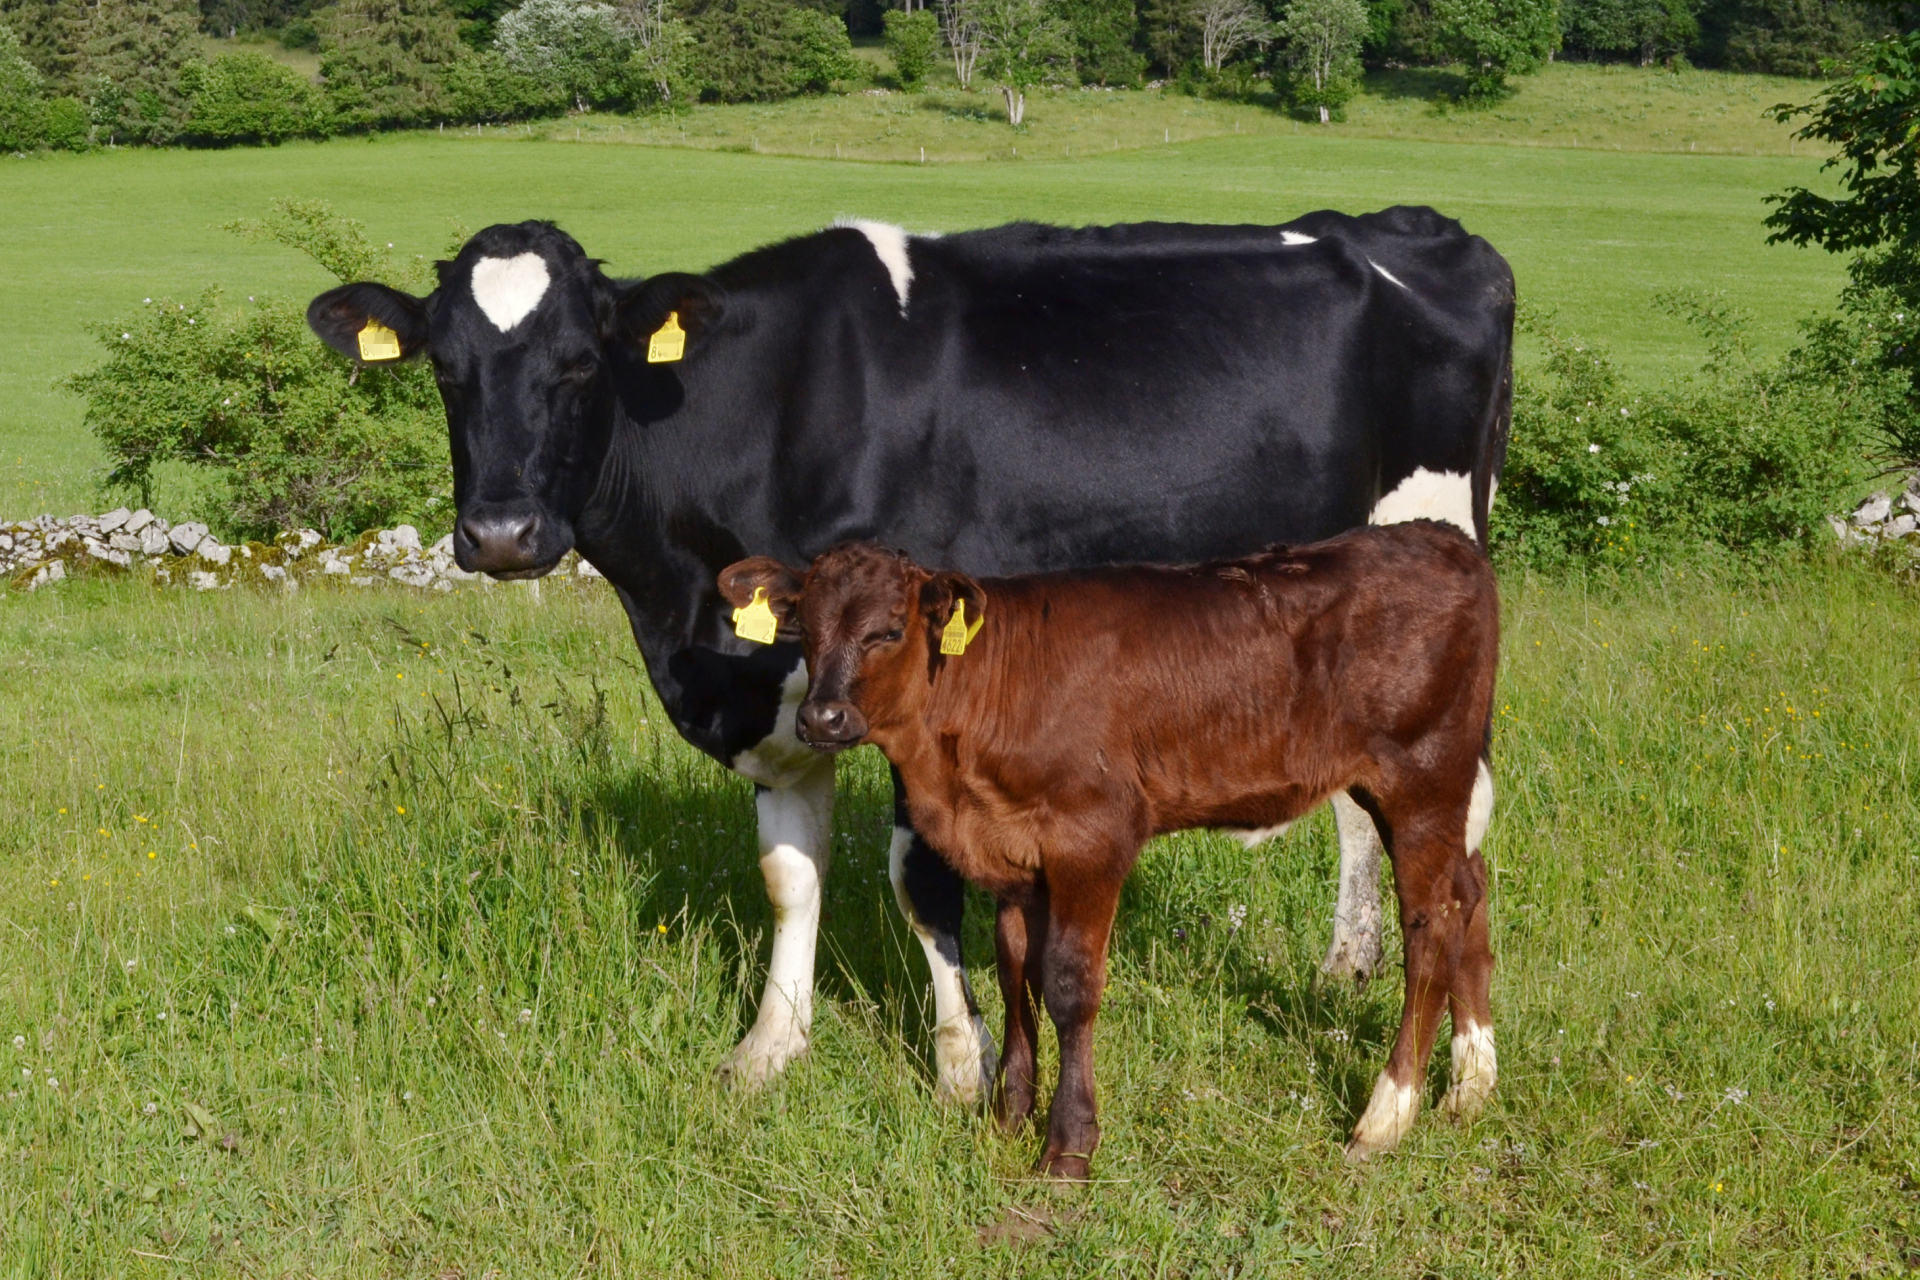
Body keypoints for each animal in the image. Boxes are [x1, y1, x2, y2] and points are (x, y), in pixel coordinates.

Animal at [304, 209, 1514, 1104]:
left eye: (578, 361)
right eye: (446, 369)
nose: (502, 534)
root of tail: (1405, 226)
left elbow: (918, 876)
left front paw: (963, 1066)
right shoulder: (780, 690)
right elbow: (790, 873)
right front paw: (769, 1049)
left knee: (1462, 816)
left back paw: (1461, 1070)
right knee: (1367, 804)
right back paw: (1347, 965)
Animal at [718, 522, 1500, 1176]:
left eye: (887, 630)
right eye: (804, 629)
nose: (821, 718)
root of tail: (1442, 538)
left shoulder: (1093, 839)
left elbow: (1069, 985)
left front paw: (1067, 1148)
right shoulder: (1013, 855)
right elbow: (1015, 974)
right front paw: (1008, 1121)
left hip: (1423, 778)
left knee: (1430, 926)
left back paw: (1386, 1117)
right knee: (1470, 889)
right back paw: (1470, 1086)